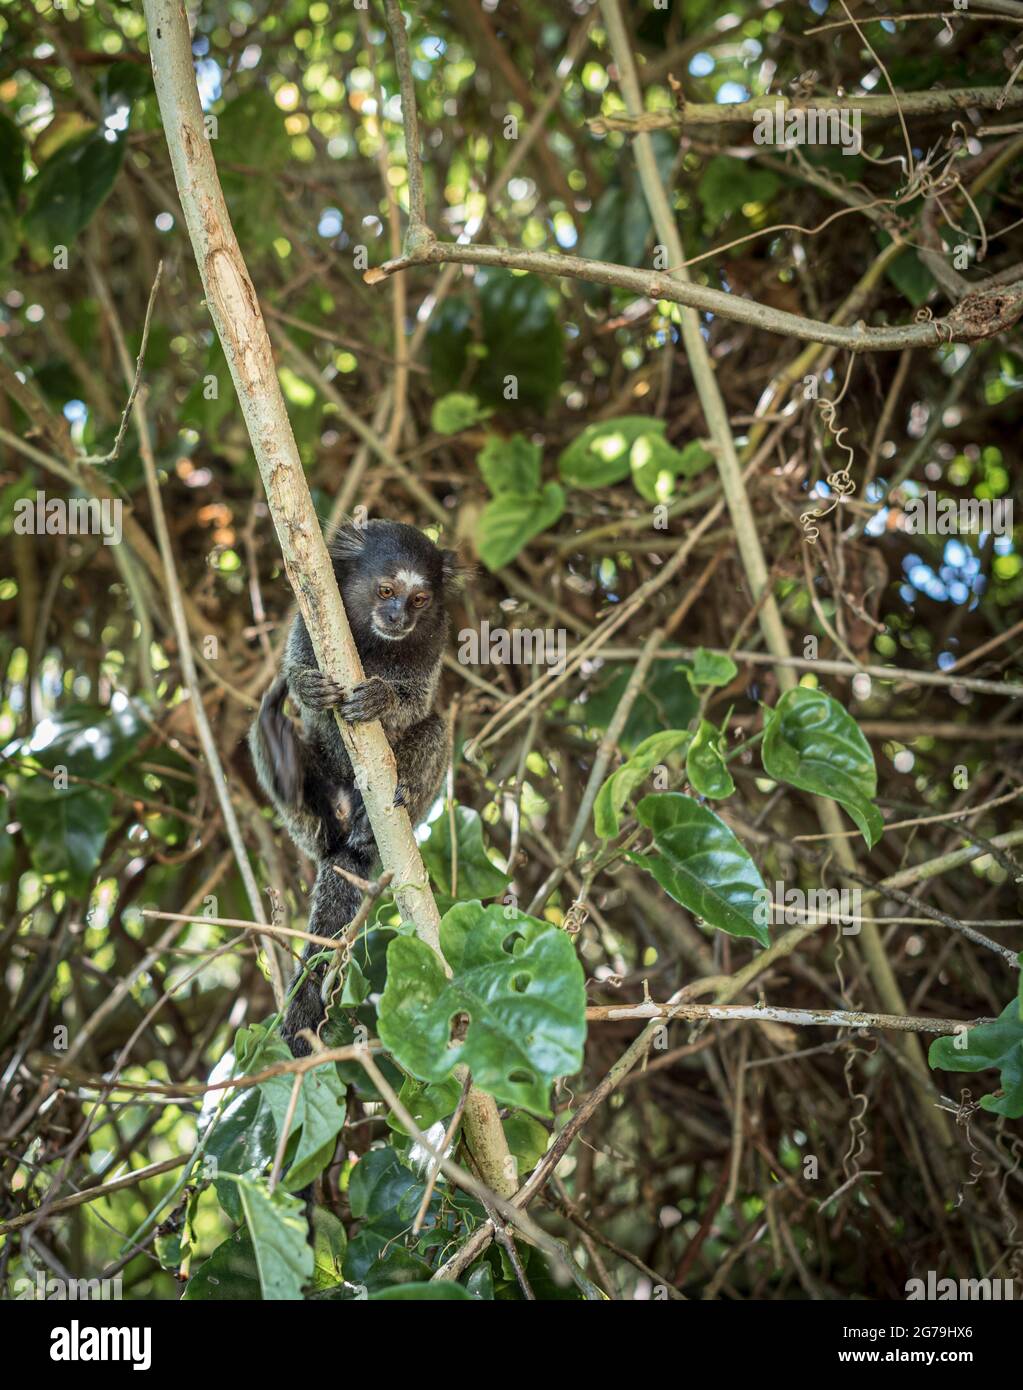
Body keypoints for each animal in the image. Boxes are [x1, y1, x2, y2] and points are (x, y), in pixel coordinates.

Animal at [248, 519, 463, 1056]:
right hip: (311, 817)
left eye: (420, 599)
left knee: (436, 729)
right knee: (278, 748)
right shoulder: (305, 621)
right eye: (386, 590)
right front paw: (307, 690)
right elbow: (293, 668)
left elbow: (415, 703)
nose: (398, 616)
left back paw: (384, 811)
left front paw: (382, 698)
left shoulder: (434, 643)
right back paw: (281, 753)